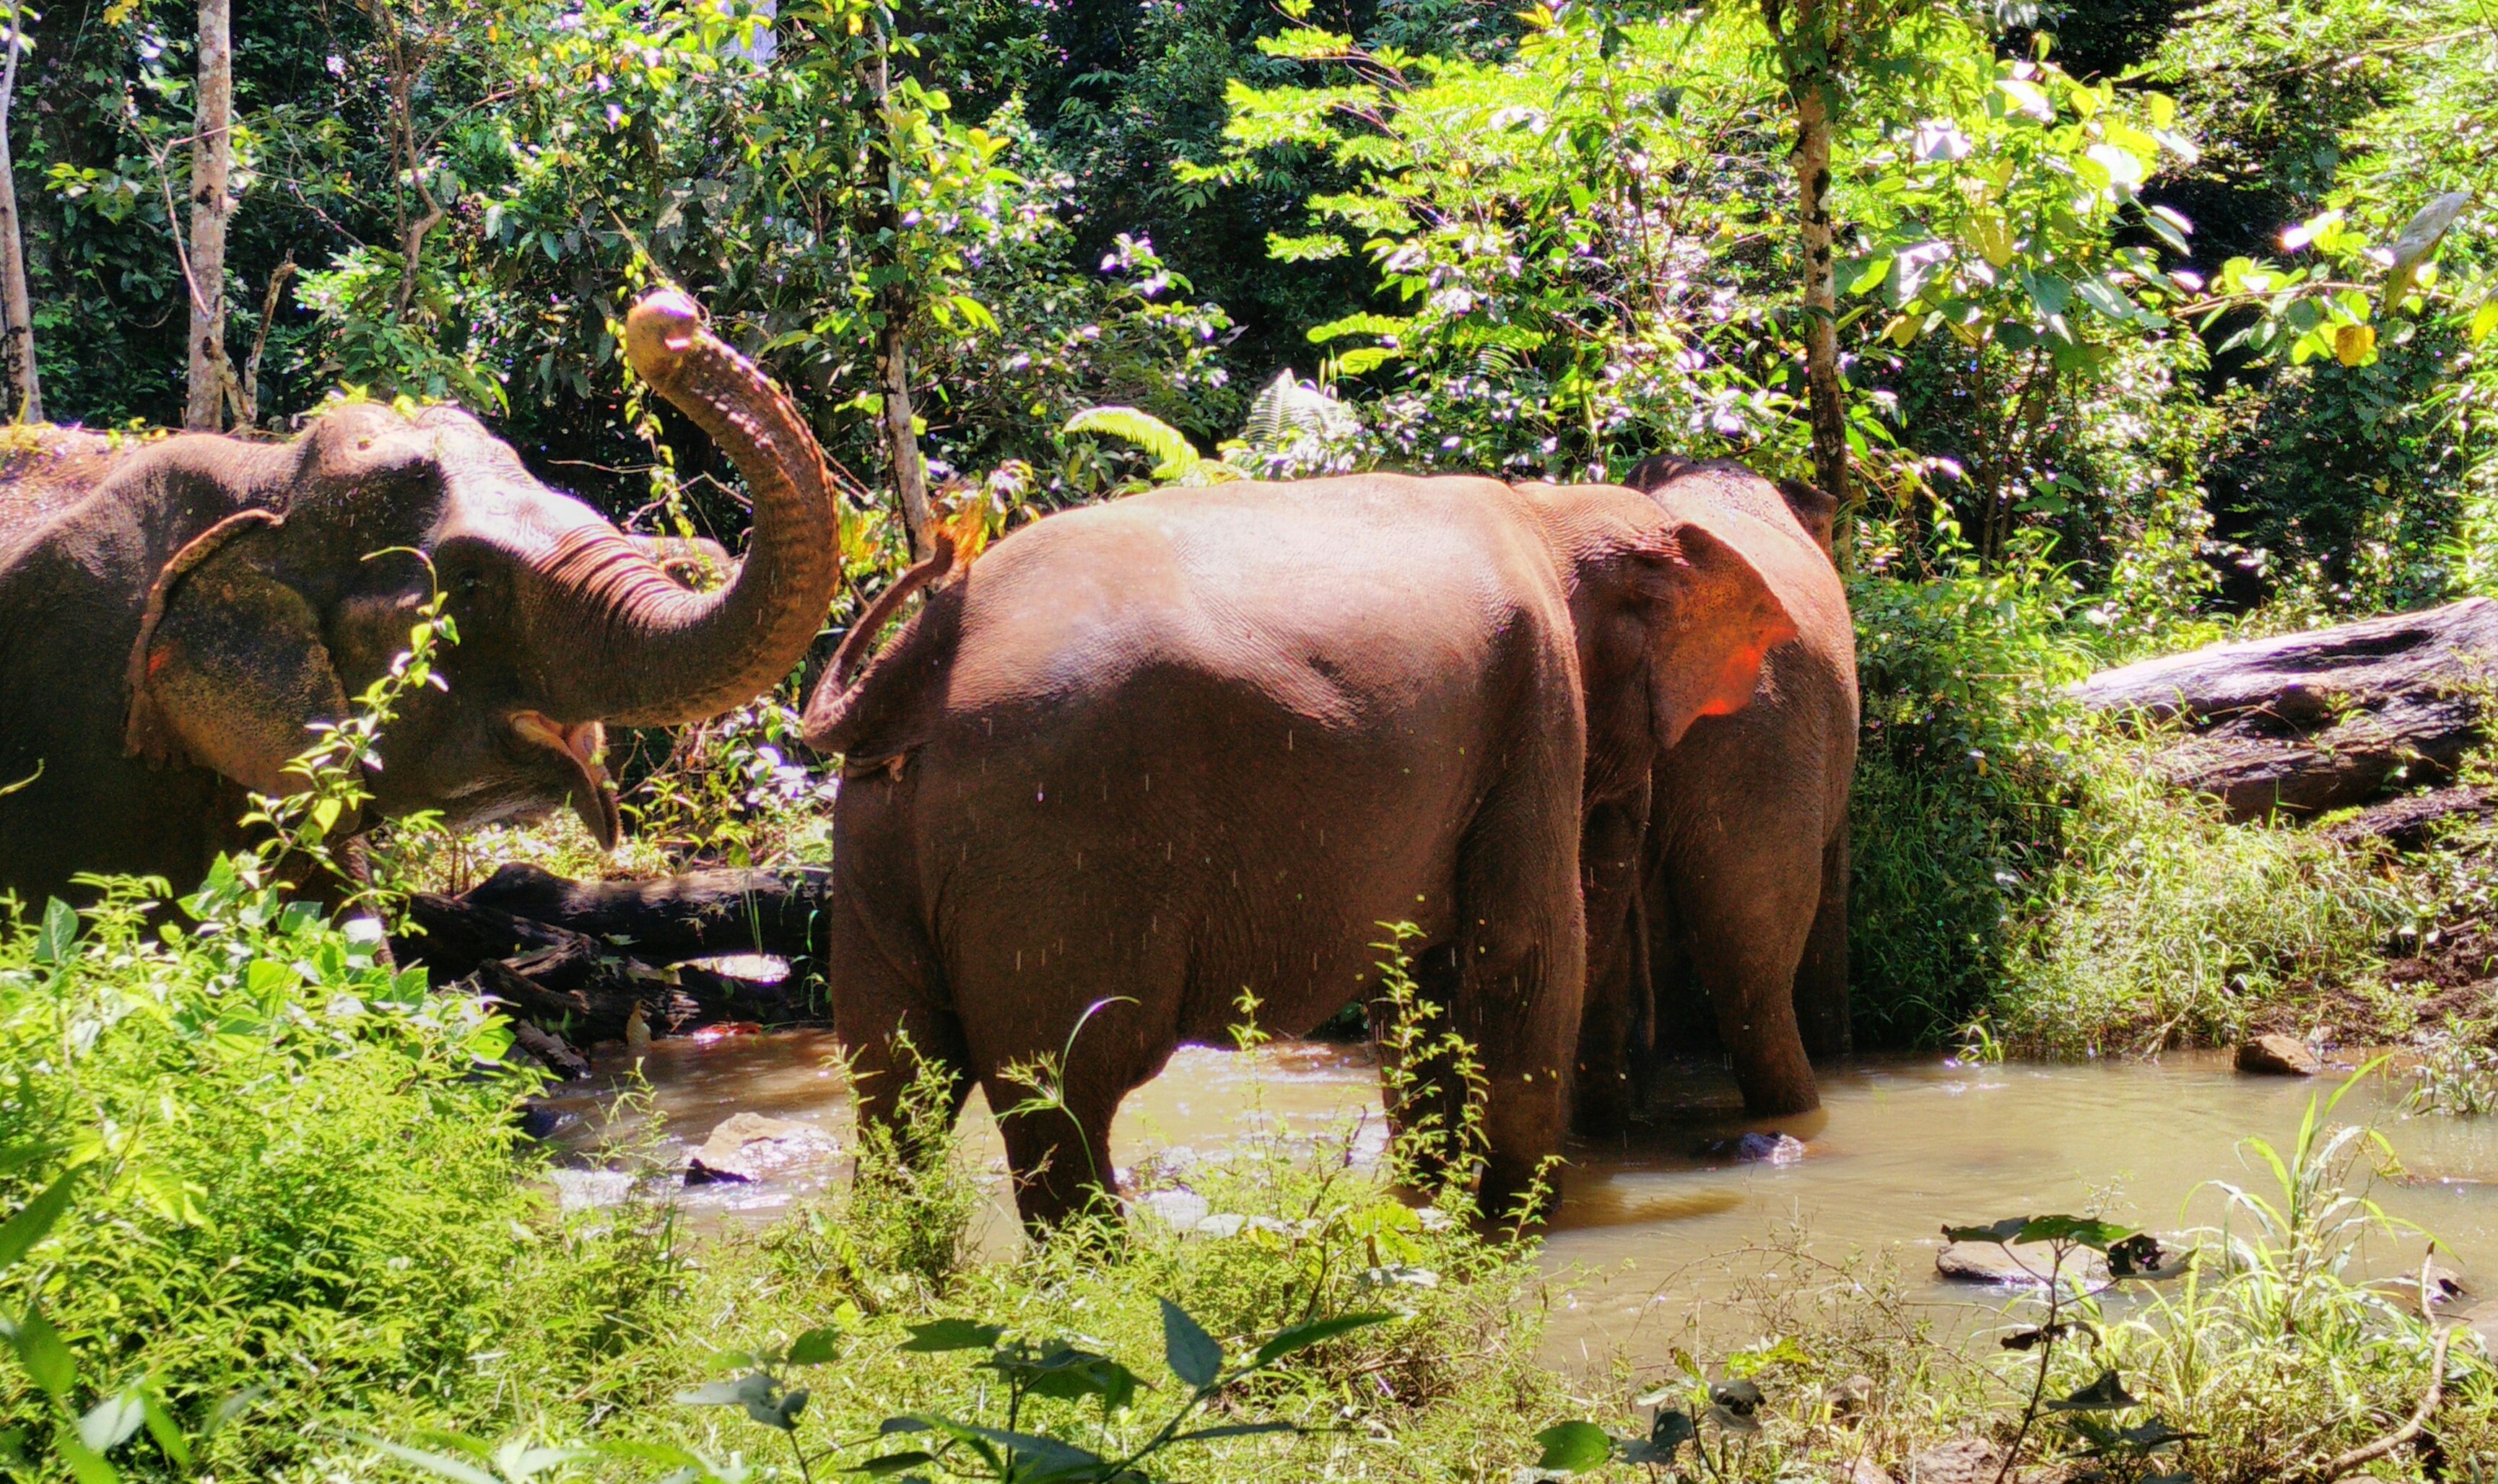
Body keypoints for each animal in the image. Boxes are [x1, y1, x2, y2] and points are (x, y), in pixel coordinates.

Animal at [799, 473, 1825, 1229]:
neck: (1545, 505)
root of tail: (917, 660)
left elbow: (1420, 975)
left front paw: (1428, 1200)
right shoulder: (1537, 703)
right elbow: (1522, 950)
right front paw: (1516, 1220)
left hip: (877, 840)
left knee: (895, 1081)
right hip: (1055, 838)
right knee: (1062, 1088)